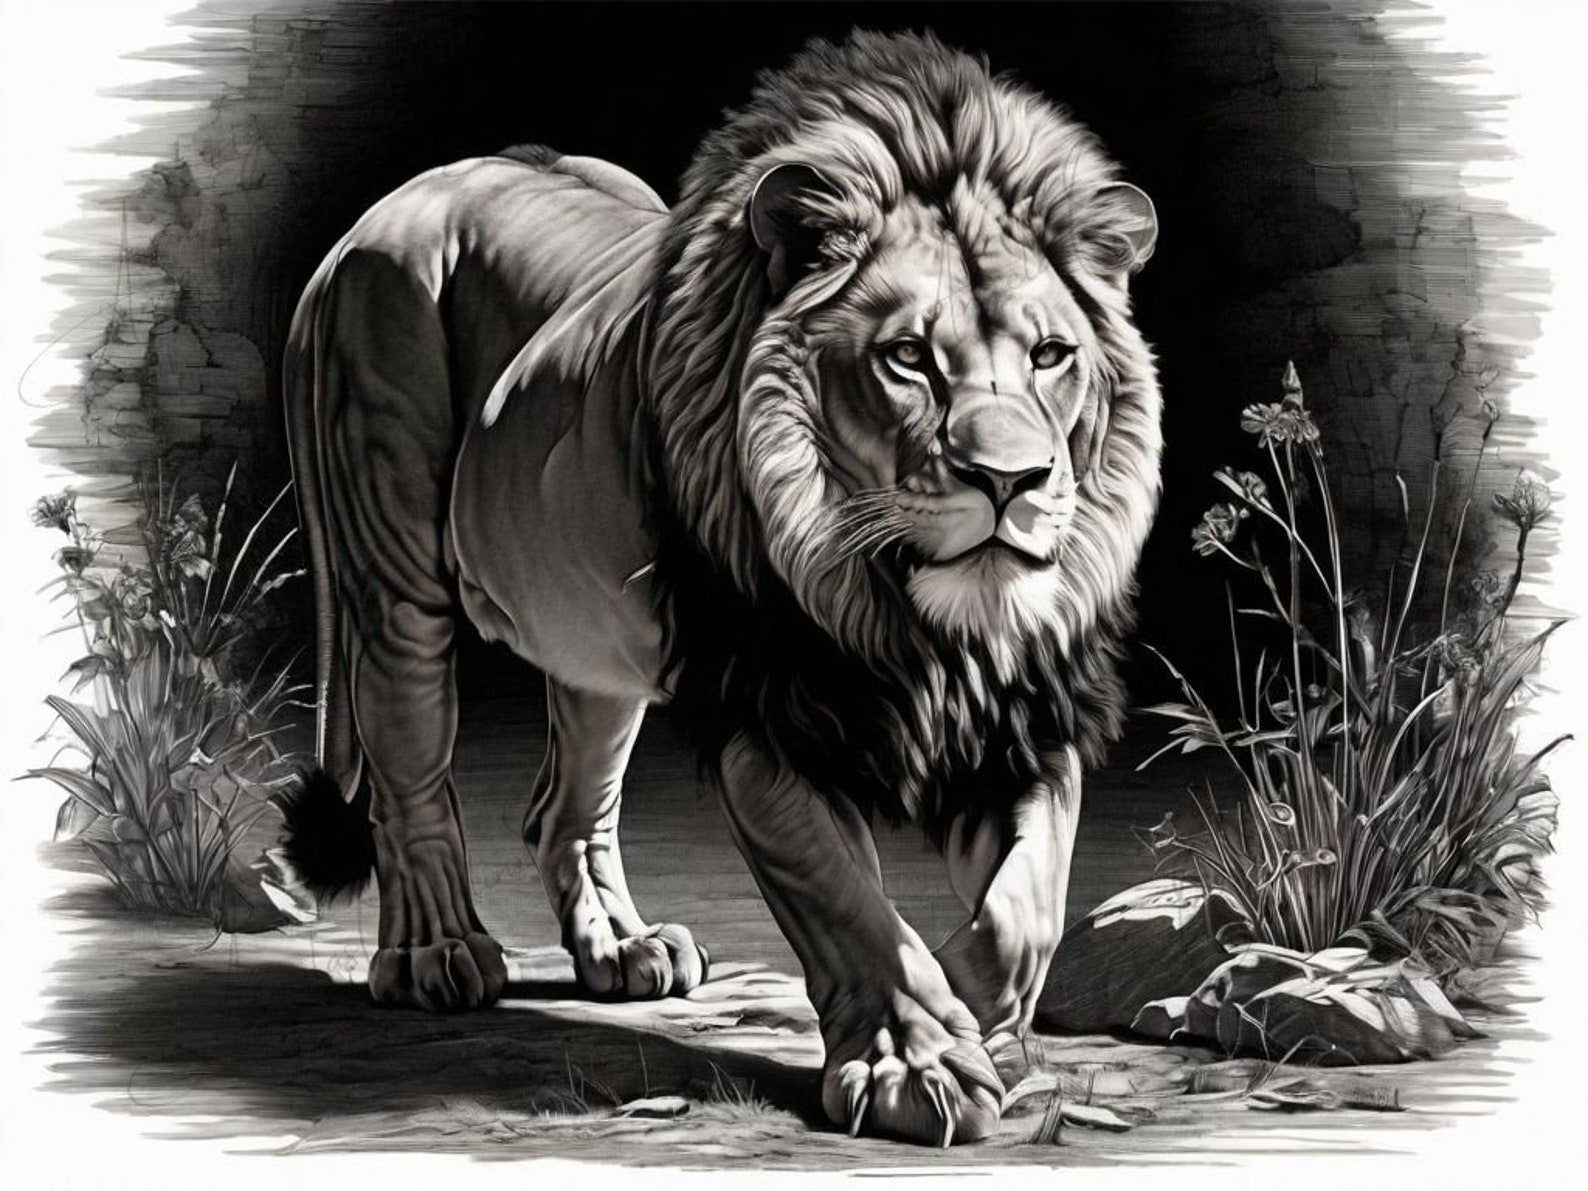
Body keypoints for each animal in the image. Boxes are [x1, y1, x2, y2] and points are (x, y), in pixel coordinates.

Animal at [279, 31, 1160, 1146]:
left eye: (1051, 356)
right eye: (907, 358)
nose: (1011, 480)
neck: (914, 616)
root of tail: (376, 217)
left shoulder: (1027, 710)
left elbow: (1026, 907)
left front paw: (980, 1018)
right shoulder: (764, 711)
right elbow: (846, 901)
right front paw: (915, 1058)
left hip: (593, 645)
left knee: (566, 806)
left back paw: (622, 950)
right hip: (390, 541)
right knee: (411, 772)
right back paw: (435, 951)